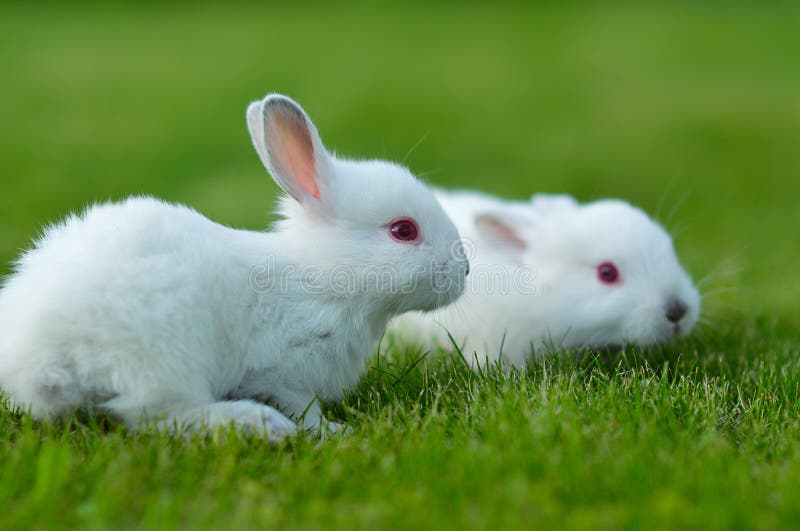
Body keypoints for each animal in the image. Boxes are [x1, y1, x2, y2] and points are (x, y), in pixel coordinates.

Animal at [0, 94, 469, 441]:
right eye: (403, 230)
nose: (464, 272)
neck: (319, 275)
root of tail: (43, 361)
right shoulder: (282, 369)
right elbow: (303, 407)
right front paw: (334, 431)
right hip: (166, 358)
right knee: (167, 416)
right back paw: (259, 425)